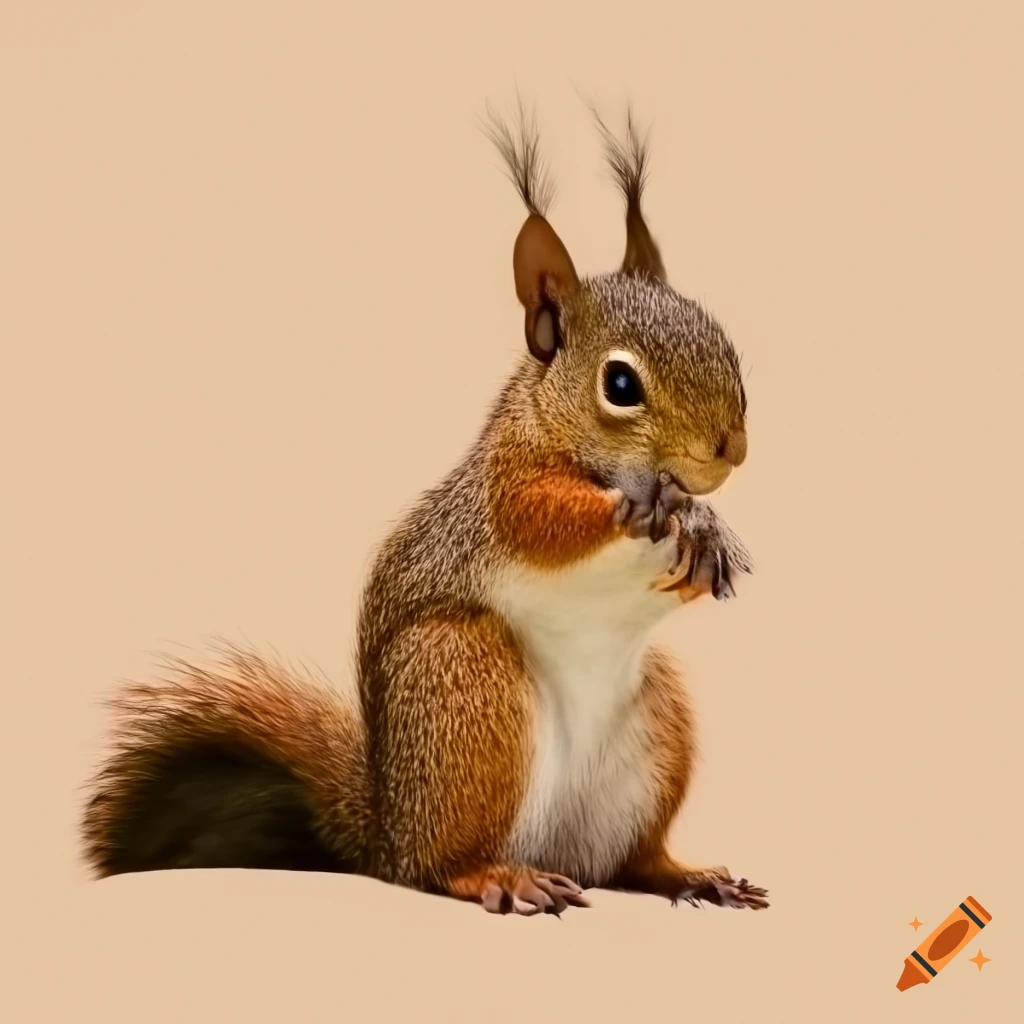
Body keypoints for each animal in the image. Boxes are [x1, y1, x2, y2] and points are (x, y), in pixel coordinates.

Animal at [80, 100, 767, 916]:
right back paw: (500, 876)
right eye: (621, 385)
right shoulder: (502, 488)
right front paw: (641, 503)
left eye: (722, 340)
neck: (547, 420)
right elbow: (544, 520)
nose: (730, 448)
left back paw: (690, 875)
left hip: (657, 722)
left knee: (631, 861)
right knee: (444, 864)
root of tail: (389, 833)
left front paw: (708, 532)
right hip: (462, 677)